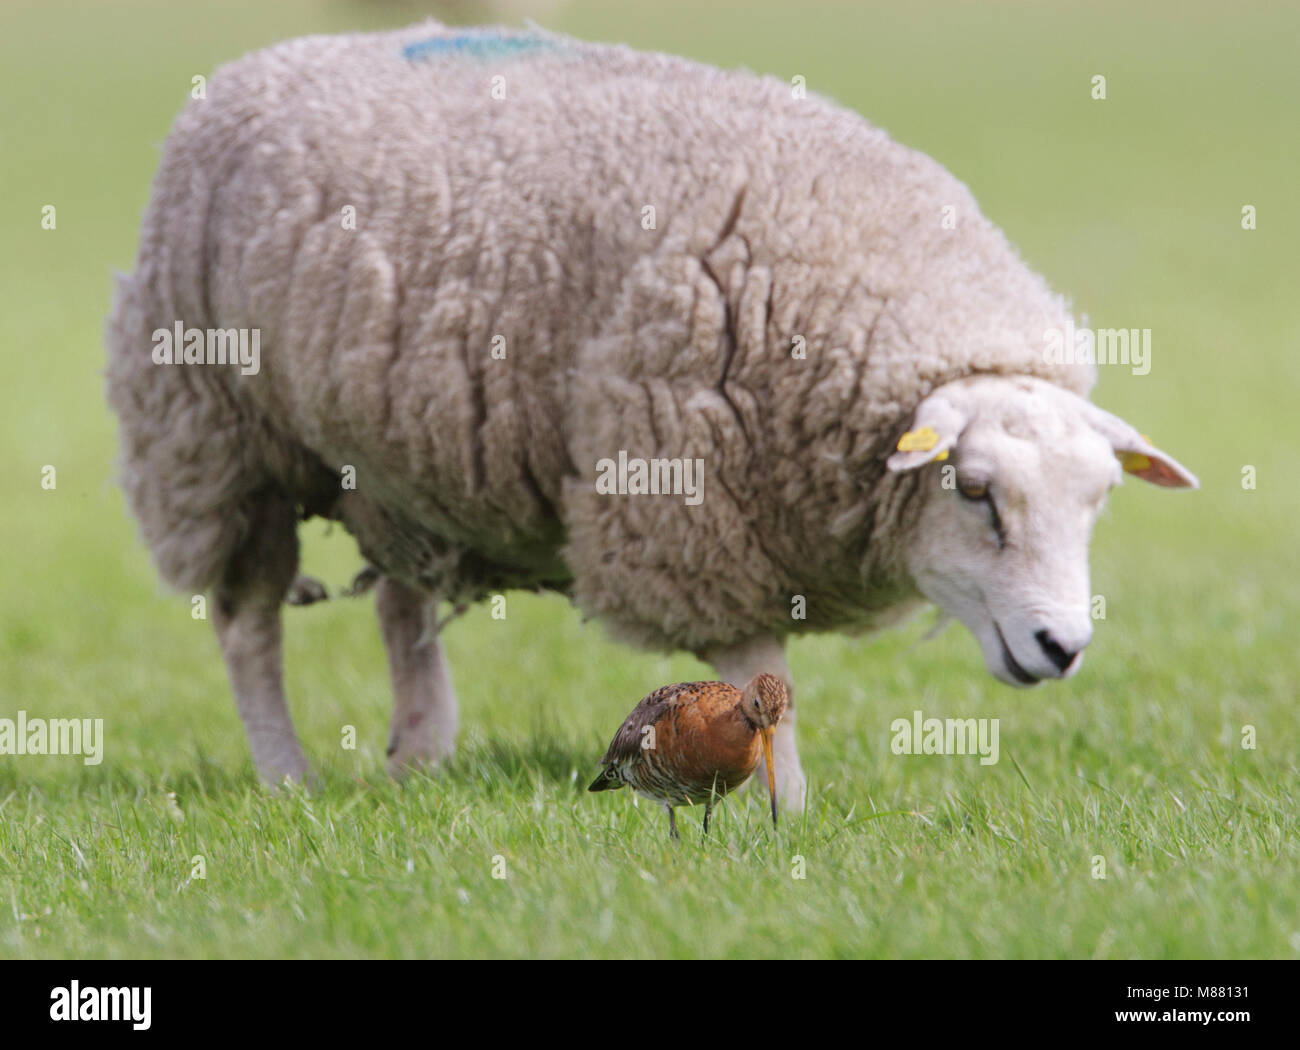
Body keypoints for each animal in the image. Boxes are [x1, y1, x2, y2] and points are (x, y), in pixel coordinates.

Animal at [105, 22, 1198, 805]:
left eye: (1099, 501)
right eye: (973, 492)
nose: (1064, 648)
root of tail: (266, 61)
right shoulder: (694, 506)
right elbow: (758, 675)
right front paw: (786, 810)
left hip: (394, 448)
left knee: (401, 602)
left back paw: (419, 756)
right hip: (212, 435)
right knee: (247, 621)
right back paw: (286, 775)